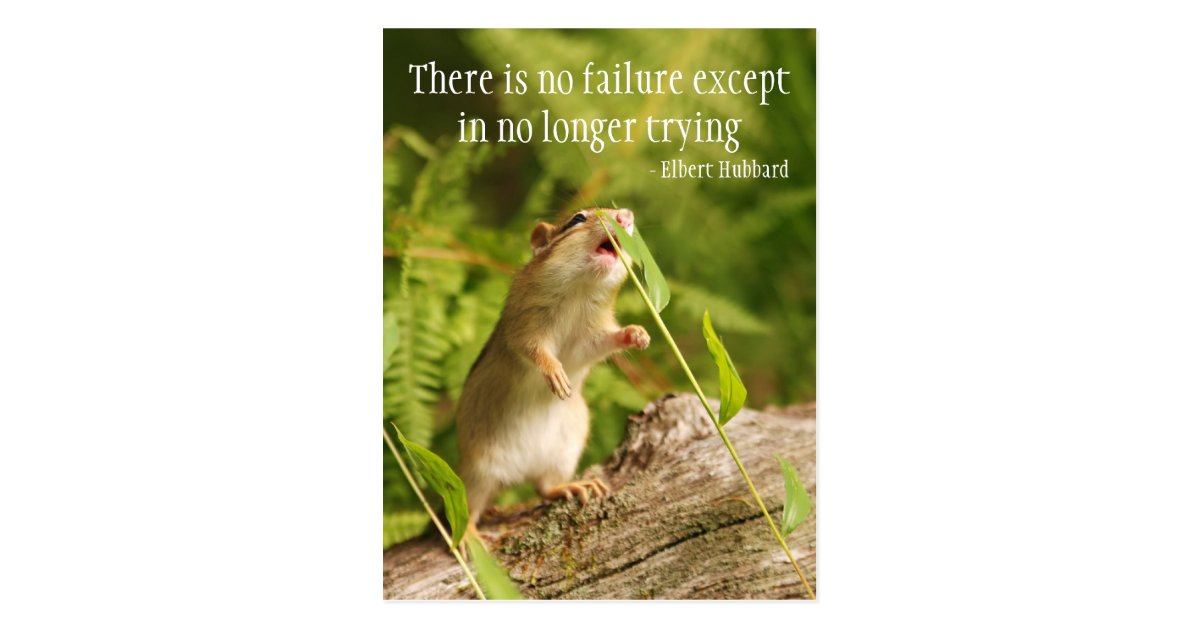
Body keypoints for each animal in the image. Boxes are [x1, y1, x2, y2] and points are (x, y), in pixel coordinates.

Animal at [456, 207, 650, 536]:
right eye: (577, 219)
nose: (626, 215)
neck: (579, 292)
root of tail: (518, 475)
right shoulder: (524, 326)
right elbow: (534, 350)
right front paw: (555, 374)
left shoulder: (587, 339)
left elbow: (600, 344)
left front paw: (636, 334)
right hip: (478, 470)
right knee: (467, 510)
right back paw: (469, 535)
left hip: (563, 454)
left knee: (545, 488)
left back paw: (573, 487)